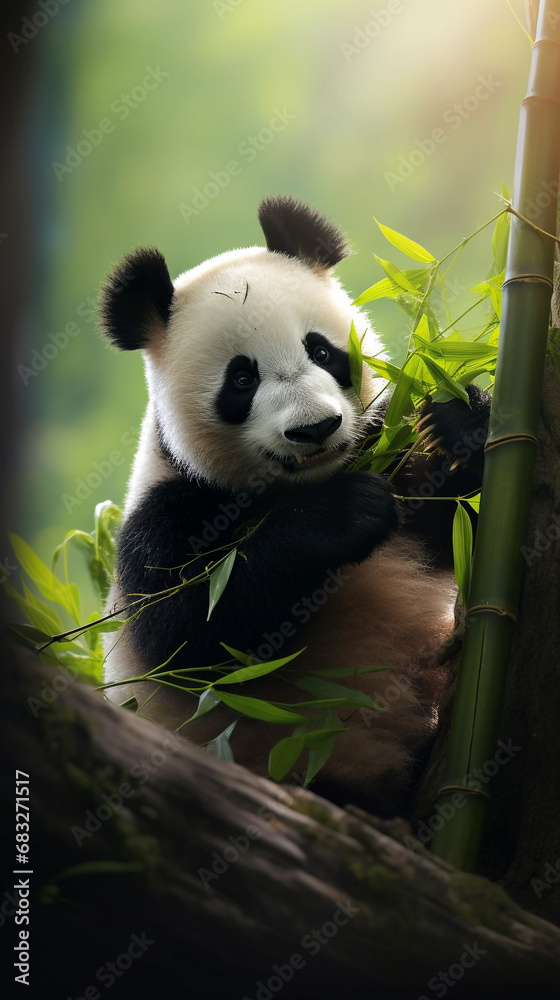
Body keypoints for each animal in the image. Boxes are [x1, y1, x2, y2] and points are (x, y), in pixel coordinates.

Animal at [100, 195, 490, 815]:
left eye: (323, 351)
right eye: (241, 379)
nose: (316, 429)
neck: (302, 484)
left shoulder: (389, 456)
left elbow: (462, 528)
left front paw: (459, 420)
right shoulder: (172, 508)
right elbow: (193, 631)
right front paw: (343, 517)